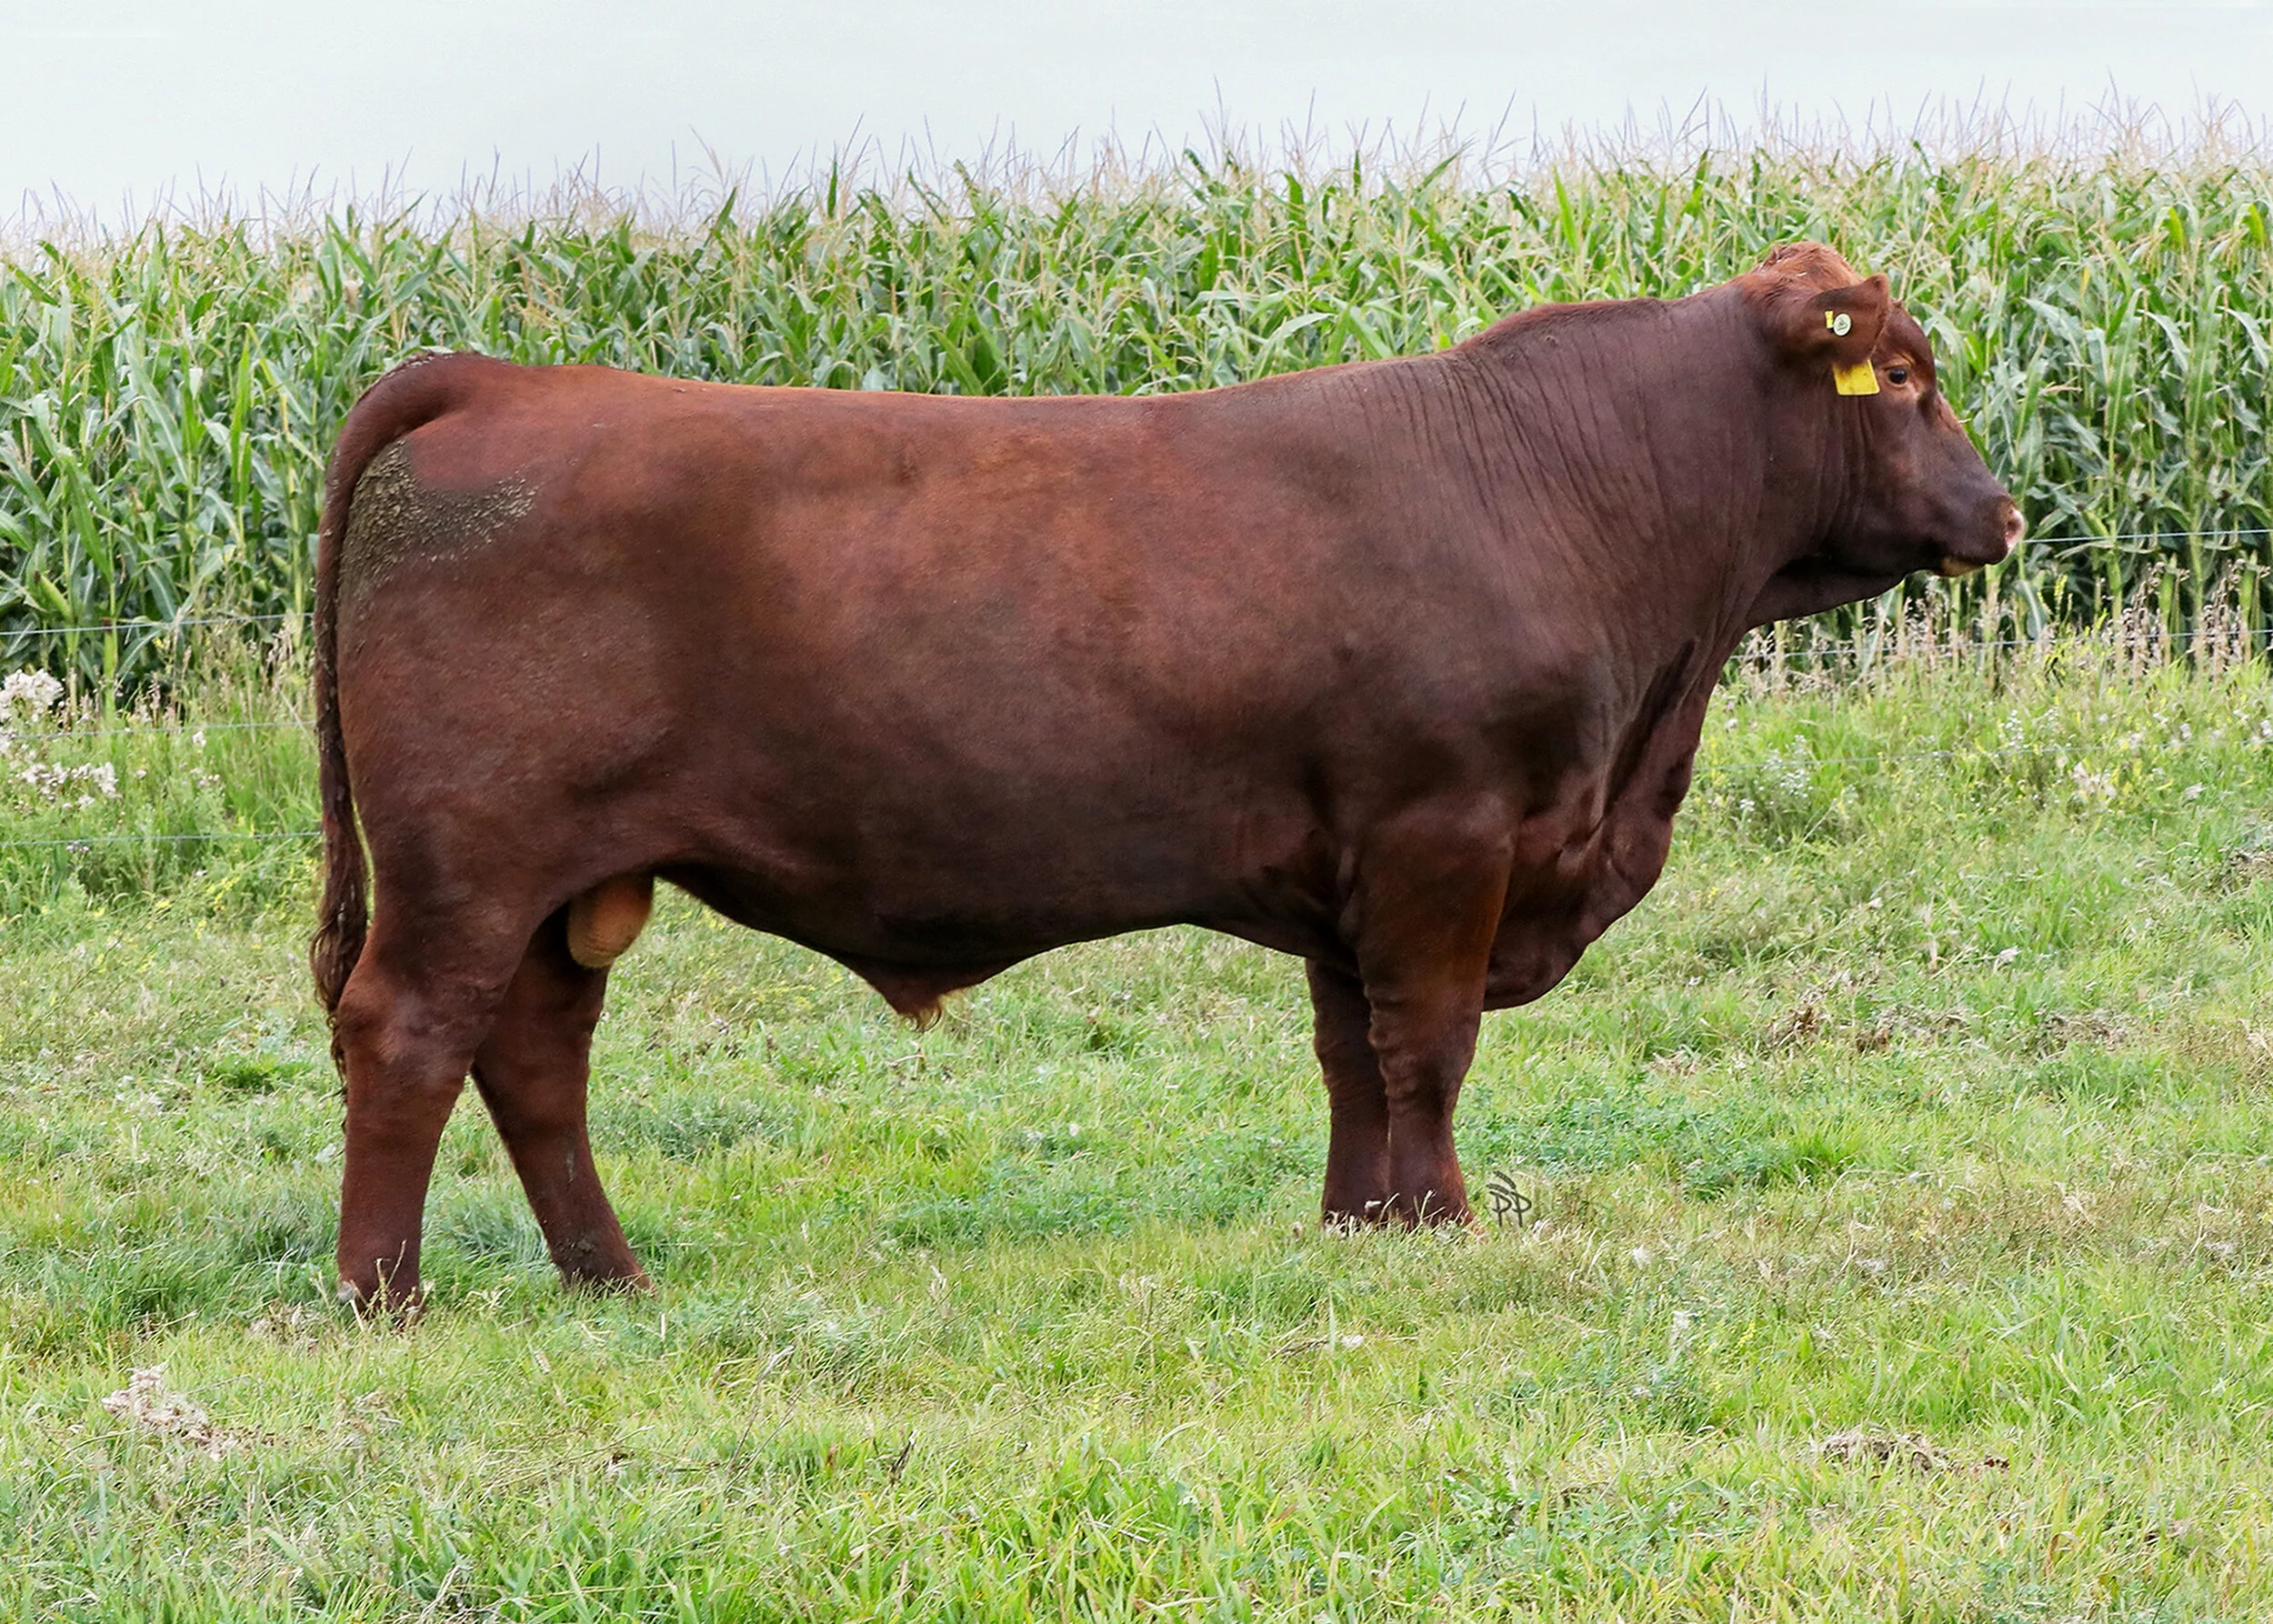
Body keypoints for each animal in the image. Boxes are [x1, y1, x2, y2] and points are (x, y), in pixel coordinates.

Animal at [309, 241, 2020, 1309]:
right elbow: (1432, 1044)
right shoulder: (1446, 834)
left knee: (536, 1060)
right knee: (409, 1033)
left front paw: (1360, 1223)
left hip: (566, 883)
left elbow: (1354, 1055)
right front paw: (1446, 1221)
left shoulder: (1355, 865)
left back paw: (609, 1273)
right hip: (469, 862)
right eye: (1908, 377)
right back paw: (387, 1291)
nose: (2002, 514)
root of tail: (502, 375)